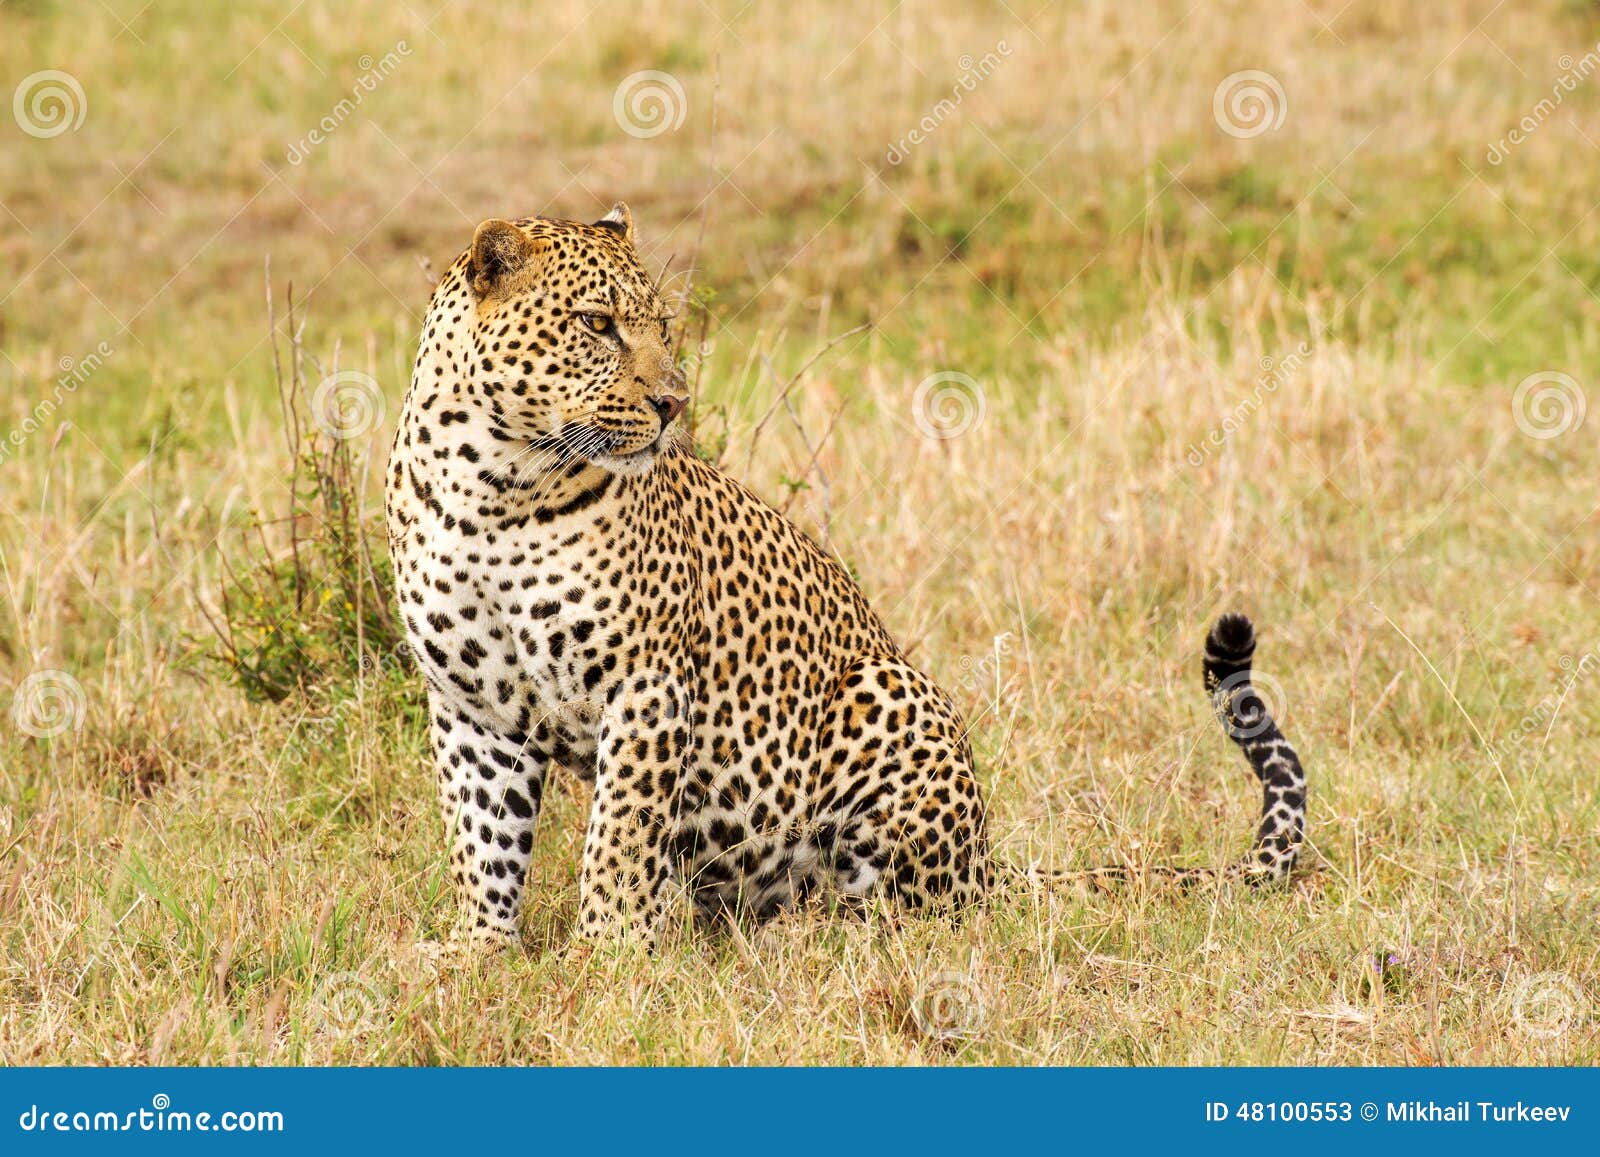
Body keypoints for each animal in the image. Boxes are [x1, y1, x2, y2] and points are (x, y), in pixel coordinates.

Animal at [384, 202, 1309, 949]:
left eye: (664, 327)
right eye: (596, 323)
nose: (673, 403)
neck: (495, 484)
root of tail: (988, 858)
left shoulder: (645, 684)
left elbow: (620, 834)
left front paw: (607, 953)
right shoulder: (470, 703)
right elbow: (482, 835)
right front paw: (481, 949)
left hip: (883, 696)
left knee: (916, 906)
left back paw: (823, 929)